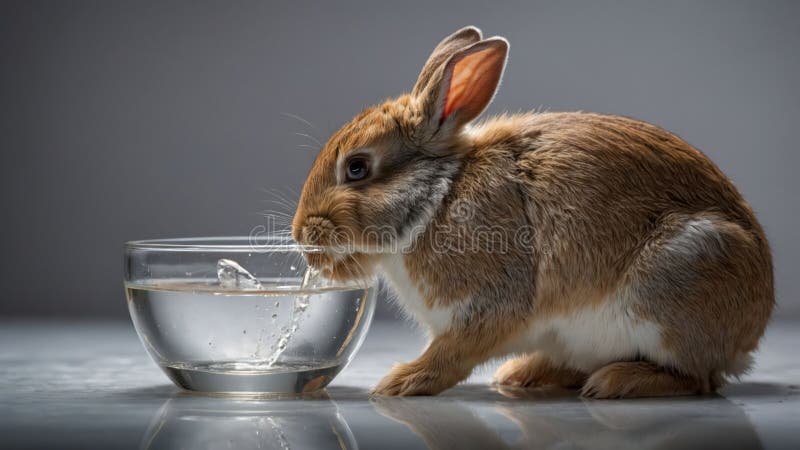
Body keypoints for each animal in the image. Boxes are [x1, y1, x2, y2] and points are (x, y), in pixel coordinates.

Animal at [291, 26, 774, 398]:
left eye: (357, 167)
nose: (300, 235)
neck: (436, 196)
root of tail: (748, 335)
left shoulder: (489, 304)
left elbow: (452, 354)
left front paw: (401, 382)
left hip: (676, 278)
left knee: (697, 379)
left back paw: (613, 383)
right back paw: (524, 374)